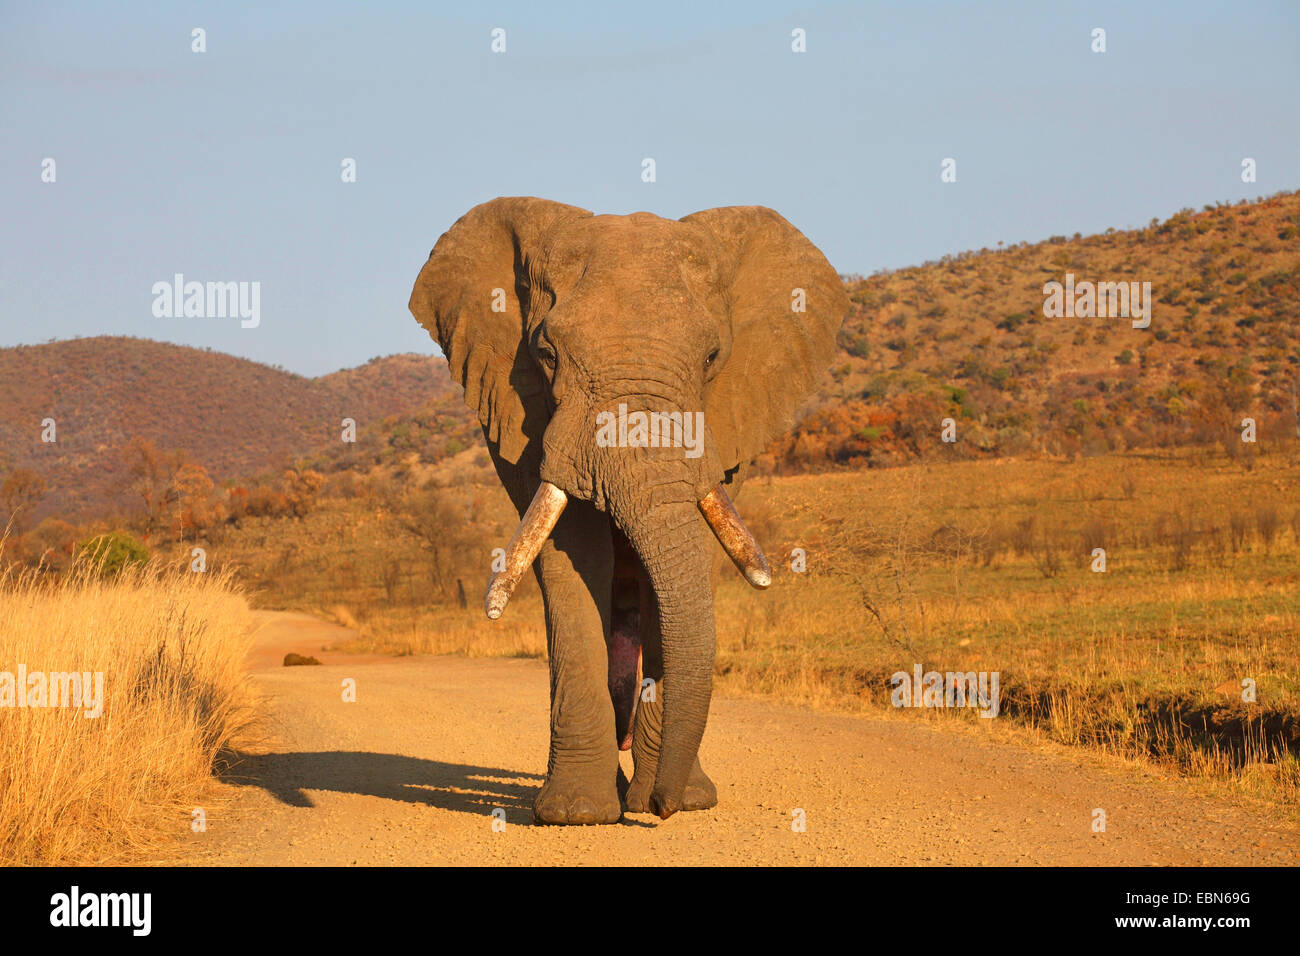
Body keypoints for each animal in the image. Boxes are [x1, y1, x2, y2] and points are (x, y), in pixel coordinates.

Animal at [408, 197, 848, 823]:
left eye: (712, 357)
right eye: (546, 355)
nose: (662, 806)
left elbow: (679, 555)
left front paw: (687, 799)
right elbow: (573, 550)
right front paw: (578, 813)